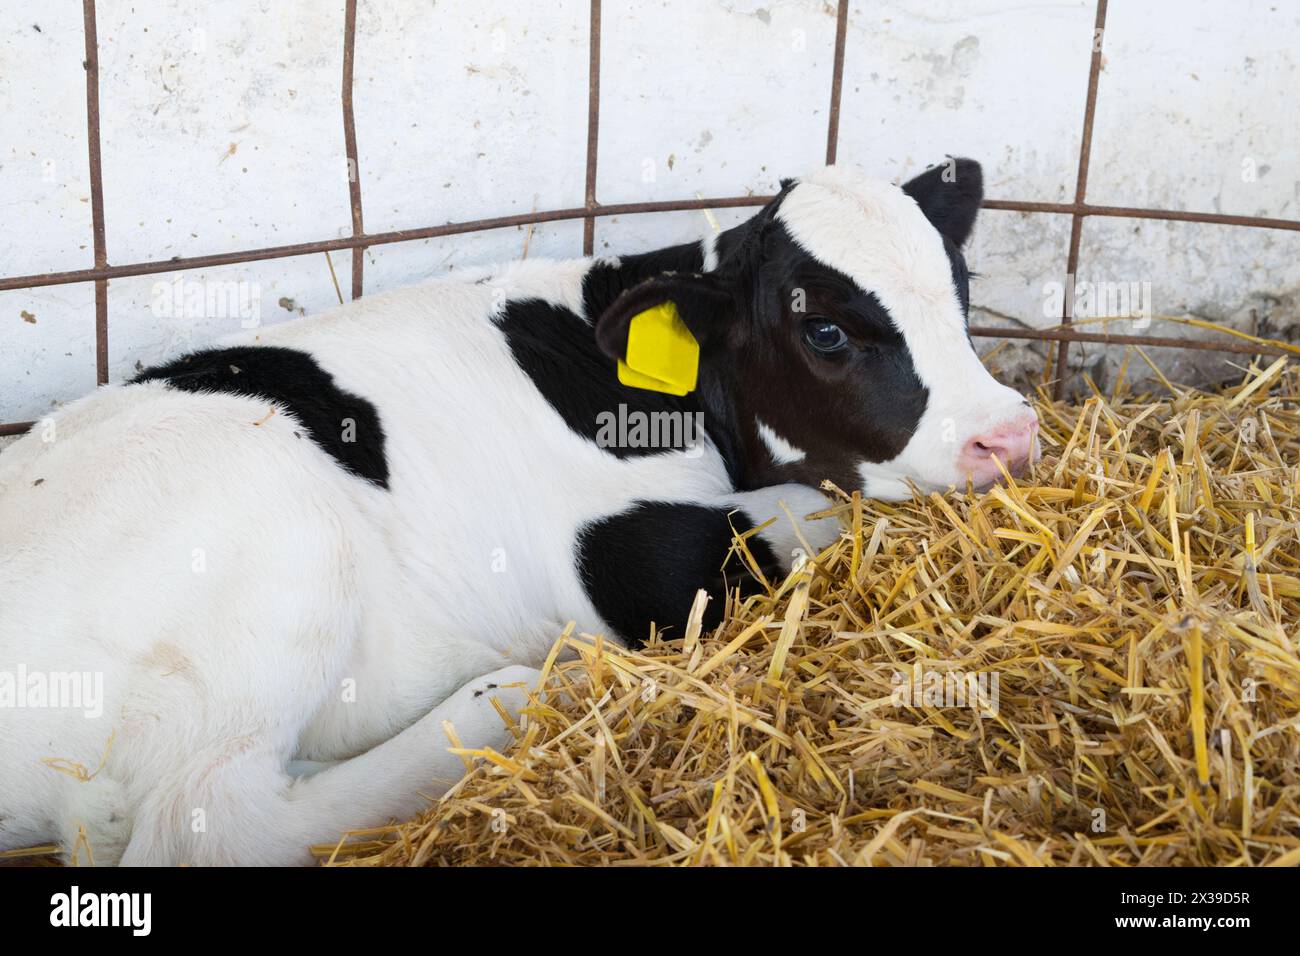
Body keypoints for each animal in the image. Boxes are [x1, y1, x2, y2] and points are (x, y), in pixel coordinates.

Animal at [0, 160, 1037, 865]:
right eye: (823, 330)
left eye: (963, 294)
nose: (1011, 435)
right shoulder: (632, 559)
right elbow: (810, 517)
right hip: (276, 543)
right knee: (211, 825)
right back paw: (522, 695)